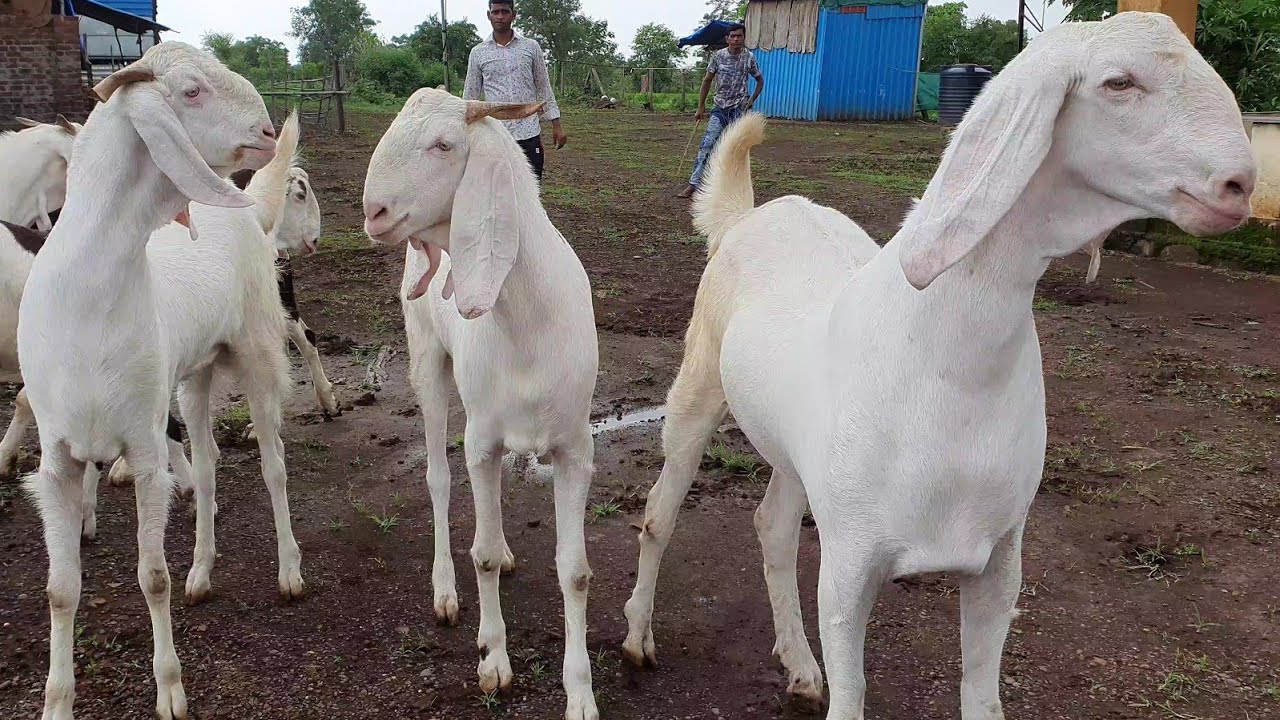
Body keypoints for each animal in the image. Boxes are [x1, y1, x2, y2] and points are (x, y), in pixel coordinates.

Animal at [17, 43, 279, 720]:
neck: (89, 298)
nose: (268, 133)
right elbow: (59, 589)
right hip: (194, 376)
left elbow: (151, 577)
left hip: (258, 351)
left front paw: (170, 689)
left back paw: (291, 571)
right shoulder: (57, 455)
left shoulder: (142, 445)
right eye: (190, 91)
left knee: (273, 462)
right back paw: (203, 571)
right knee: (208, 464)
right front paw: (57, 702)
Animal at [363, 89, 601, 720]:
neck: (526, 317)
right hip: (427, 361)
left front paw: (580, 692)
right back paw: (446, 590)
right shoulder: (483, 440)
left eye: (444, 145)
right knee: (440, 479)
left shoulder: (575, 448)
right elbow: (484, 555)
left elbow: (575, 573)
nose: (373, 212)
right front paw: (494, 659)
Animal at [621, 13, 1256, 719]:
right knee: (659, 514)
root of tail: (751, 214)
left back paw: (800, 667)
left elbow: (982, 696)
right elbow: (852, 693)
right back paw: (639, 639)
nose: (1240, 184)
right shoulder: (850, 562)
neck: (944, 367)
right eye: (1118, 82)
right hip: (697, 389)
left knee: (774, 529)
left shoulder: (1000, 556)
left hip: (794, 451)